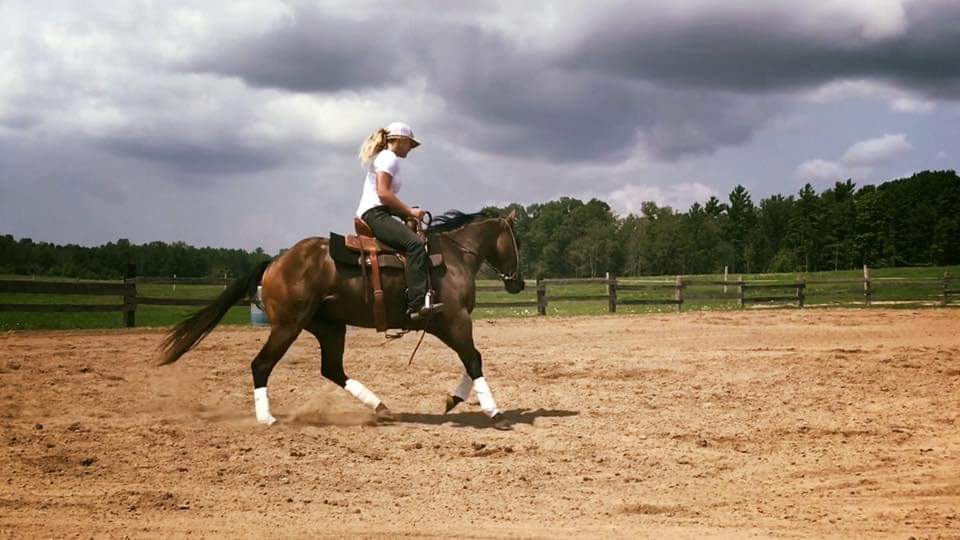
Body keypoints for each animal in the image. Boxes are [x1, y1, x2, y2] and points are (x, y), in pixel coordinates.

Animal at [158, 210, 524, 430]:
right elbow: (474, 360)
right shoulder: (453, 320)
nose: (518, 283)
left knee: (332, 369)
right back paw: (268, 418)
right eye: (516, 242)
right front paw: (494, 412)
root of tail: (275, 262)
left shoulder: (449, 324)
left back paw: (381, 407)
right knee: (261, 365)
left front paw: (453, 399)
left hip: (329, 327)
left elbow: (471, 360)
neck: (452, 257)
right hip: (288, 326)